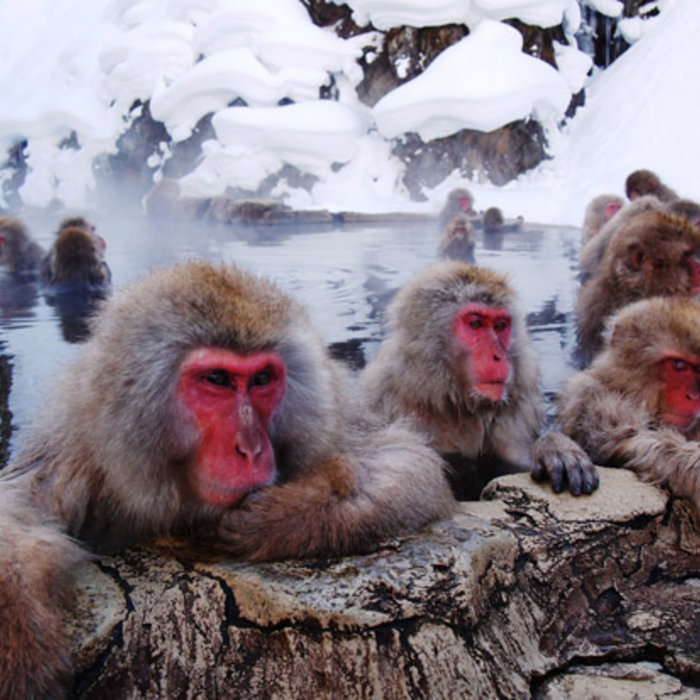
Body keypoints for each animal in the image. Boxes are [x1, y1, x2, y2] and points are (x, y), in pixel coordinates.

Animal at [0, 261, 455, 696]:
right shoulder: (74, 437)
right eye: (216, 380)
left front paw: (283, 518)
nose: (251, 449)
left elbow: (406, 458)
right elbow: (21, 504)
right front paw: (17, 635)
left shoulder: (332, 414)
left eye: (262, 379)